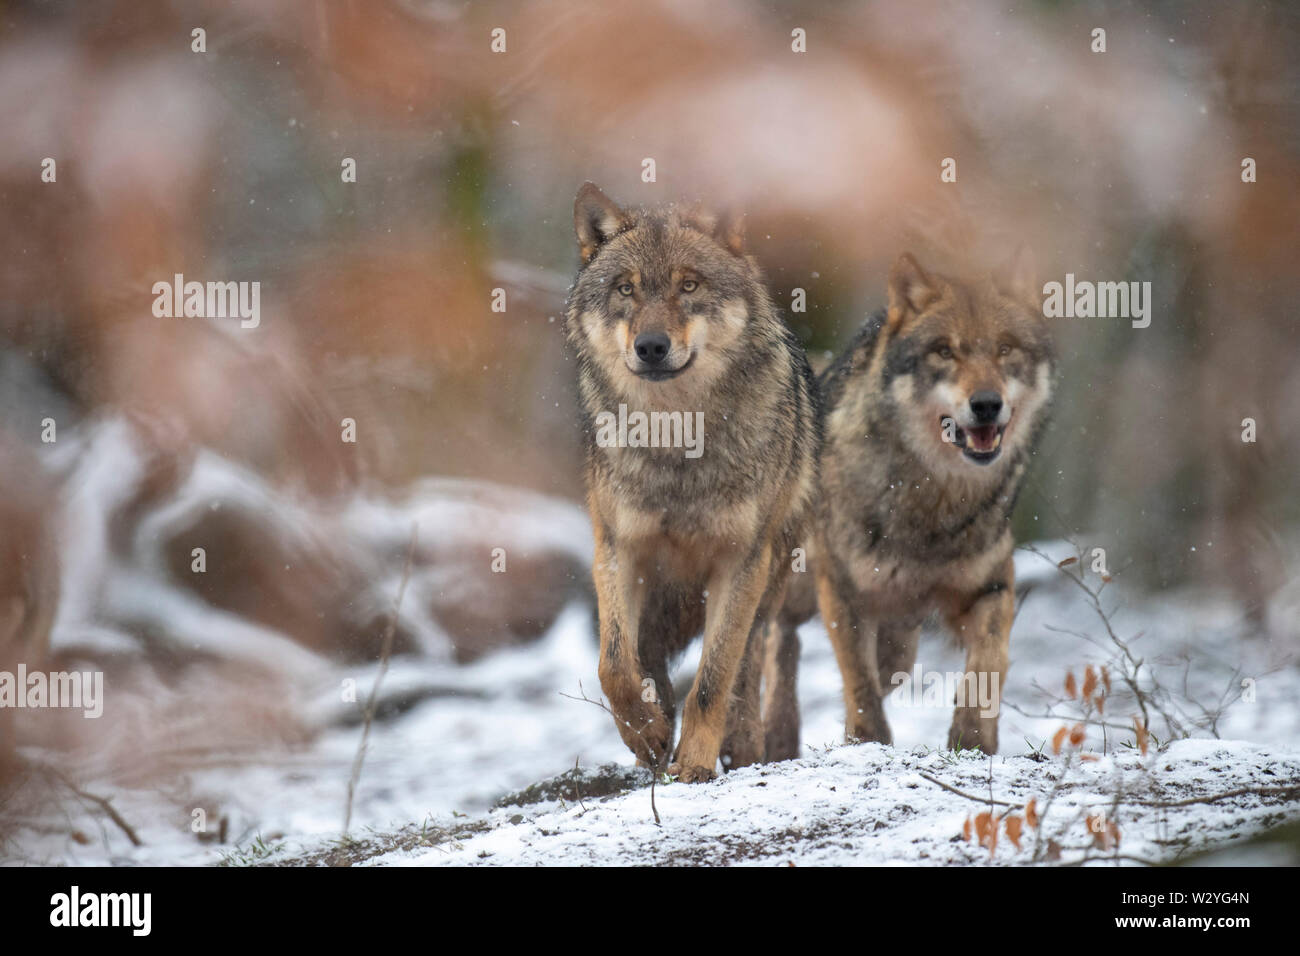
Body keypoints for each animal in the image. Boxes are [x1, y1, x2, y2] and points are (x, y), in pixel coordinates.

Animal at [565, 183, 819, 781]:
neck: (677, 440)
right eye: (626, 289)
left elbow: (714, 677)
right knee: (646, 660)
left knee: (748, 668)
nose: (652, 346)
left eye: (689, 285)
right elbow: (614, 666)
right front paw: (648, 733)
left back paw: (741, 747)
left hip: (770, 580)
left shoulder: (740, 561)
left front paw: (697, 763)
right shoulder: (618, 549)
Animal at [779, 250, 1055, 754]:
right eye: (945, 351)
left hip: (900, 635)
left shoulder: (990, 584)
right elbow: (858, 681)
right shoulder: (841, 588)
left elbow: (990, 661)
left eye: (1005, 349)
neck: (932, 498)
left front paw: (972, 739)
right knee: (771, 642)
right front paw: (867, 741)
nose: (987, 404)